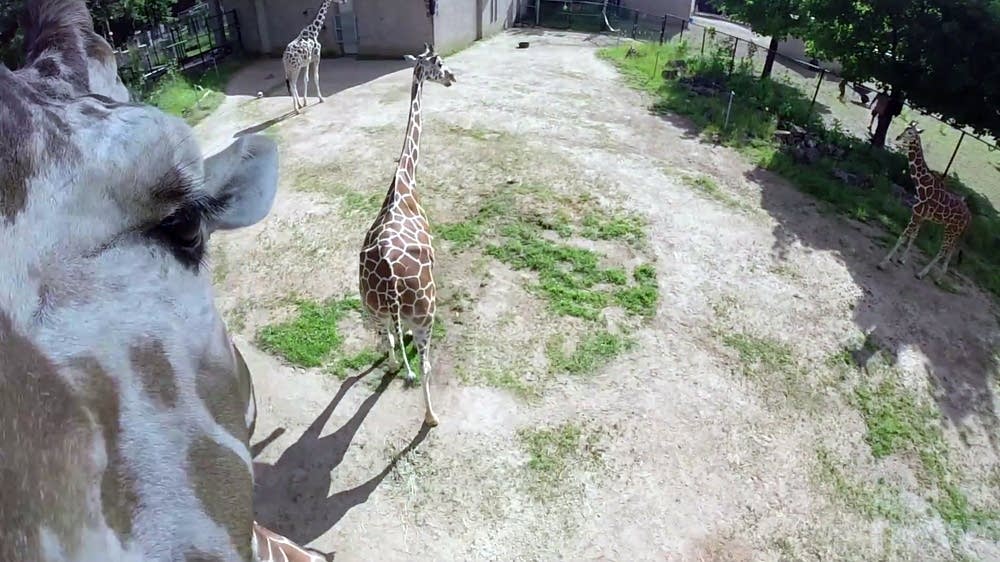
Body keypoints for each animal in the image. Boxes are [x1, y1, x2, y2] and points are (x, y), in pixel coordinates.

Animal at [358, 43, 456, 428]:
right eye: (439, 63)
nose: (453, 77)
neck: (405, 181)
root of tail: (391, 285)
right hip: (427, 314)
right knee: (425, 366)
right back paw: (431, 417)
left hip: (372, 307)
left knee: (386, 340)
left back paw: (393, 365)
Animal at [878, 122, 972, 280]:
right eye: (905, 129)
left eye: (911, 133)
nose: (898, 137)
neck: (921, 186)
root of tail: (970, 218)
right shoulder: (920, 216)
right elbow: (913, 236)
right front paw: (901, 259)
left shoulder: (917, 215)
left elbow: (903, 236)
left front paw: (883, 263)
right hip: (953, 229)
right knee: (950, 250)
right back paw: (939, 278)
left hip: (952, 230)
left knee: (943, 250)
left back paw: (921, 273)